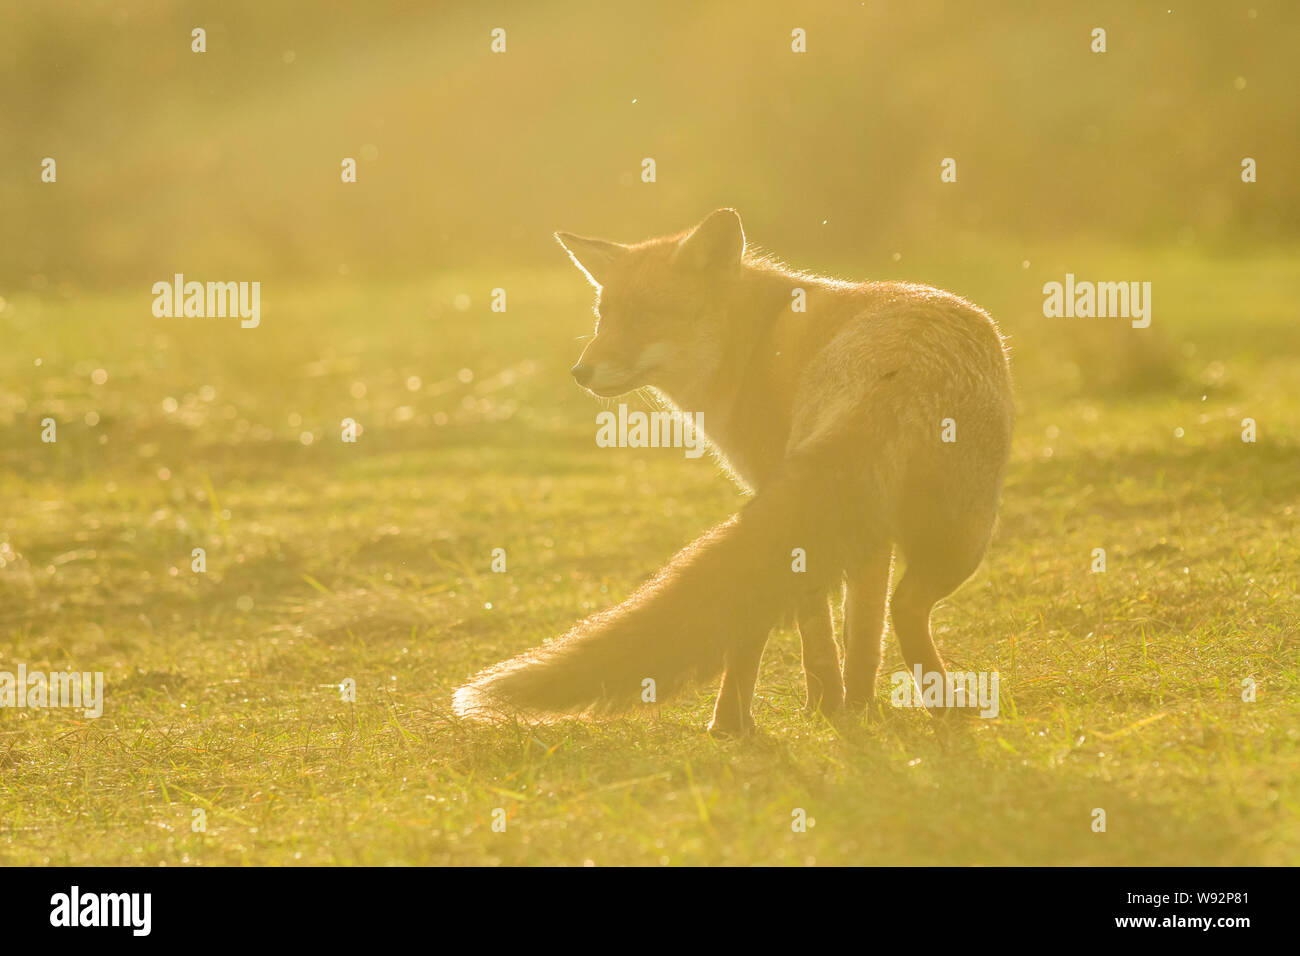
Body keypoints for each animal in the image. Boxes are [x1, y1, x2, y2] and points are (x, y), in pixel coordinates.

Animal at [453, 208, 1014, 735]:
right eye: (603, 318)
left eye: (647, 317)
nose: (580, 372)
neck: (753, 345)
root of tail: (896, 372)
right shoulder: (858, 527)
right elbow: (855, 631)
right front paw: (851, 707)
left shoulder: (778, 488)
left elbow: (815, 626)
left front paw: (824, 707)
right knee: (897, 607)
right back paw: (924, 704)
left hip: (965, 536)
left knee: (886, 608)